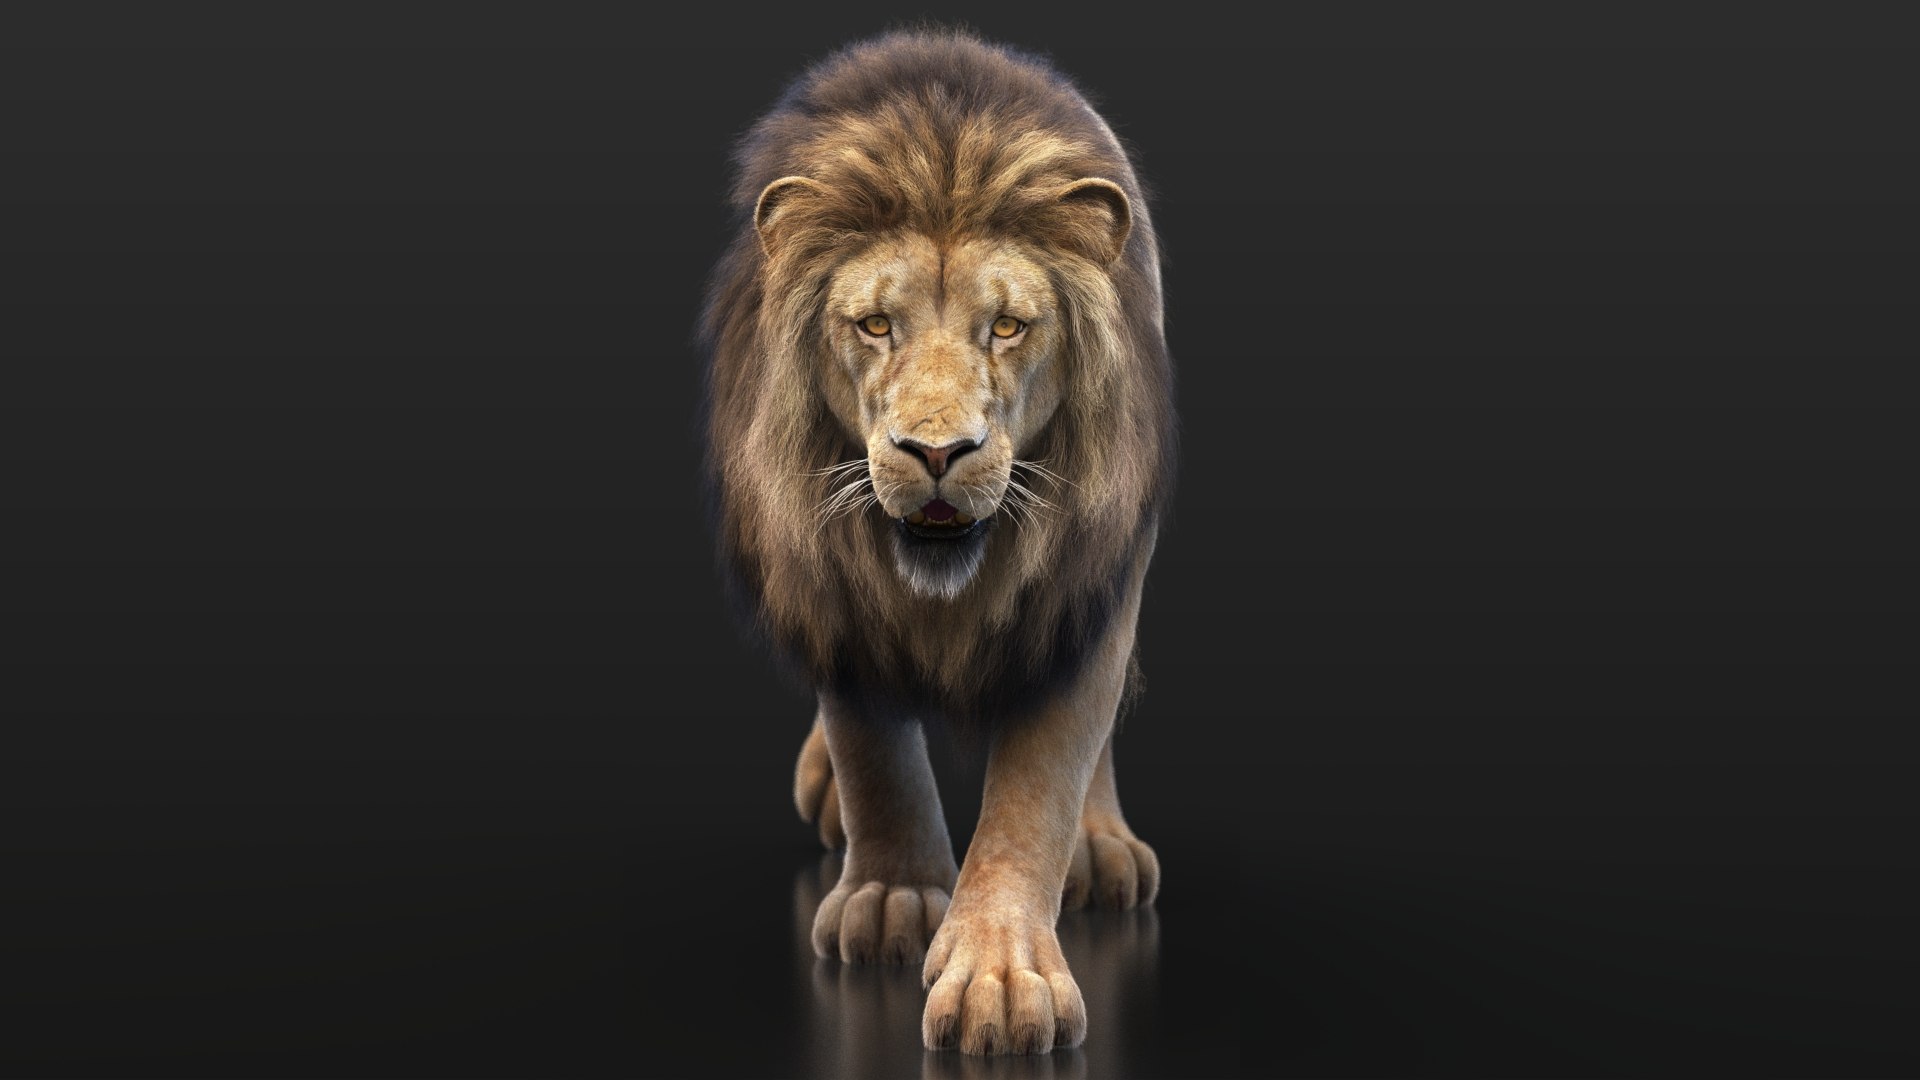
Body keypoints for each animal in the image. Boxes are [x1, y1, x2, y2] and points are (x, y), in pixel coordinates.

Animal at [698, 27, 1176, 1055]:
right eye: (876, 324)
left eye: (1008, 326)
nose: (937, 452)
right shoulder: (832, 584)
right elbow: (872, 749)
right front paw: (892, 895)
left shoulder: (1081, 580)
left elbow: (1039, 784)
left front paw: (1001, 974)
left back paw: (1101, 846)